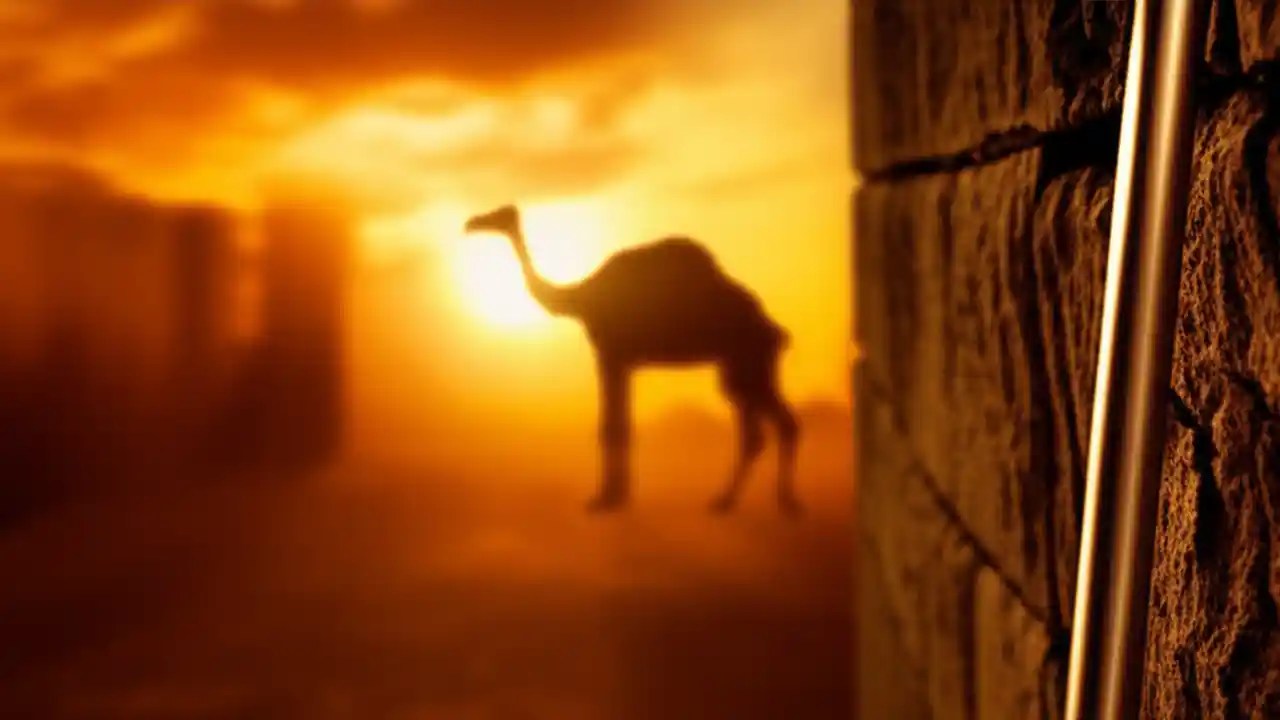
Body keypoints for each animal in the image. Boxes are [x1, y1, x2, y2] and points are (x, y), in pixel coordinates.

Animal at [464, 204, 800, 515]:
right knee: (760, 432)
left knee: (773, 427)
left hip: (746, 362)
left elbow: (611, 426)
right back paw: (736, 501)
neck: (580, 298)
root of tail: (777, 332)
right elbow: (622, 424)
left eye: (500, 213)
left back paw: (773, 502)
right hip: (741, 366)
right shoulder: (624, 361)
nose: (471, 222)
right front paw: (619, 495)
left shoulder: (609, 355)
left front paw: (604, 499)